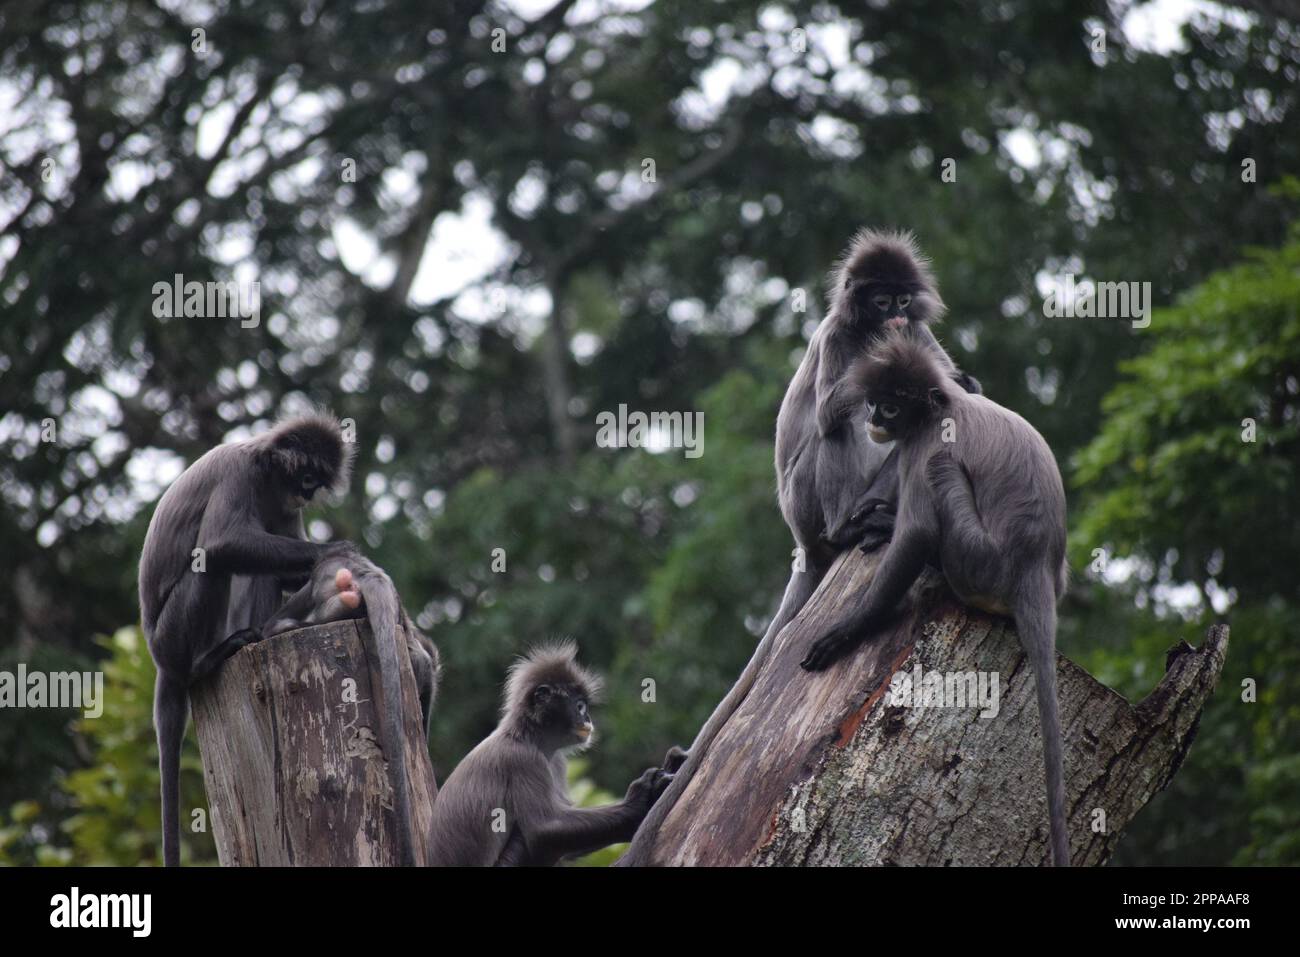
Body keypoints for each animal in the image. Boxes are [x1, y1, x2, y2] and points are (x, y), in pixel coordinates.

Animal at [138, 412, 354, 867]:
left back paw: (266, 633)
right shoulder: (239, 475)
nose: (307, 494)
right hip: (172, 636)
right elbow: (221, 543)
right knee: (209, 560)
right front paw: (335, 548)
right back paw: (208, 660)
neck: (265, 472)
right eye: (307, 477)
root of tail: (160, 660)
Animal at [427, 641, 685, 866]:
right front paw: (639, 804)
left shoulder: (557, 760)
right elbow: (543, 831)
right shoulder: (523, 760)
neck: (526, 737)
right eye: (579, 706)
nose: (587, 718)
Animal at [624, 230, 980, 861]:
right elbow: (833, 407)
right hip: (807, 499)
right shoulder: (840, 338)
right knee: (834, 429)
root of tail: (805, 543)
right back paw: (850, 530)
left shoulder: (913, 342)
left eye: (900, 299)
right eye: (880, 299)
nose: (894, 315)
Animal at [798, 329, 1070, 866]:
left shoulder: (925, 443)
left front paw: (845, 633)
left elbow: (919, 531)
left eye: (891, 406)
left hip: (977, 559)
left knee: (944, 475)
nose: (875, 418)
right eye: (875, 403)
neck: (940, 408)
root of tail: (1034, 570)